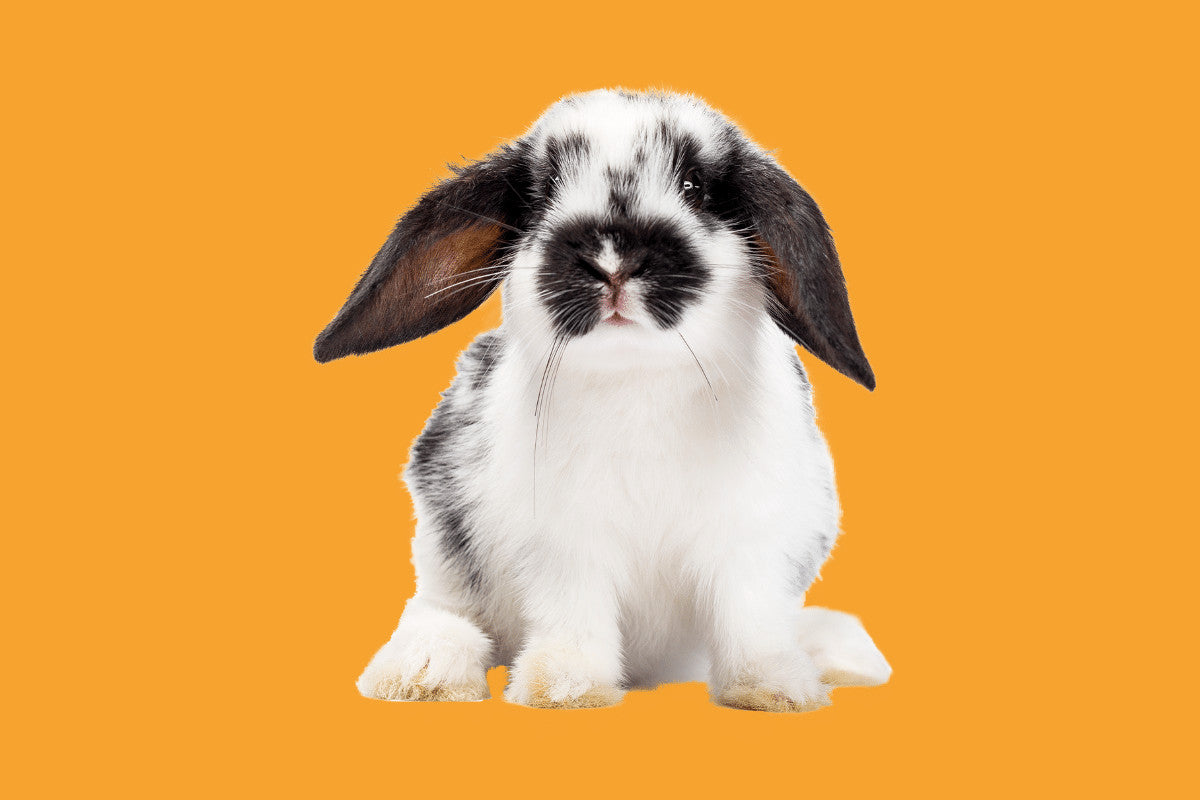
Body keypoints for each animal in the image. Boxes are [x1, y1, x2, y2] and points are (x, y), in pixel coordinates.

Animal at [314, 89, 891, 711]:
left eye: (695, 186)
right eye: (541, 193)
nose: (611, 260)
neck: (637, 380)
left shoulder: (755, 543)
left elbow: (751, 619)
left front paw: (774, 689)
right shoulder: (561, 548)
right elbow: (575, 613)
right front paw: (567, 687)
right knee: (440, 614)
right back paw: (421, 673)